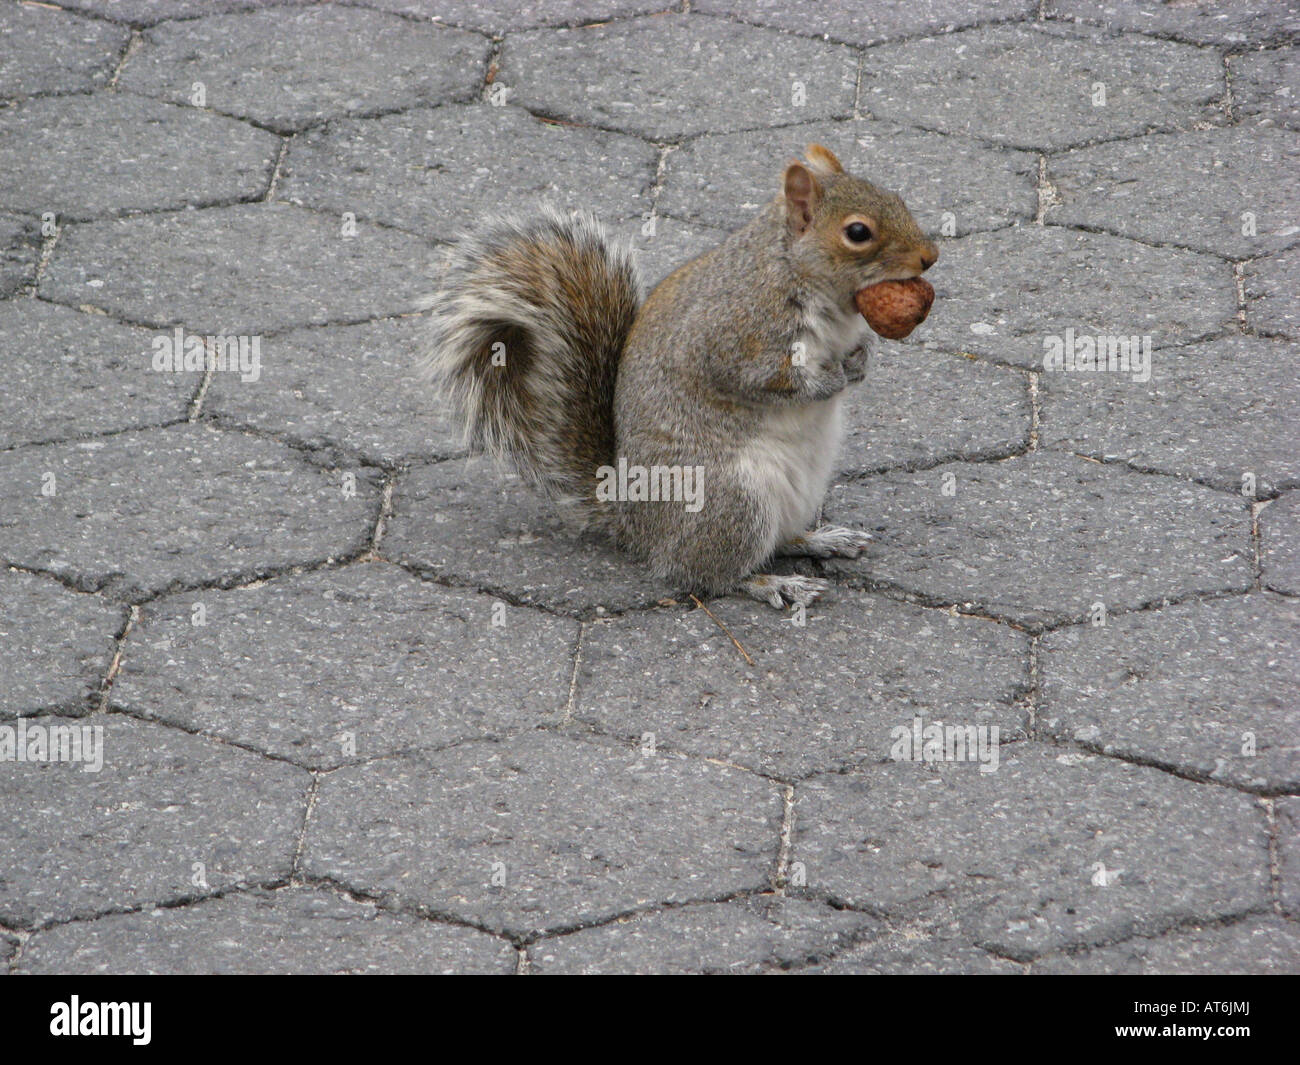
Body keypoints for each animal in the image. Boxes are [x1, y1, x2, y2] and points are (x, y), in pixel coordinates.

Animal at [425, 143, 938, 610]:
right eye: (858, 232)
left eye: (896, 196)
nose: (930, 256)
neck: (797, 274)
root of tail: (635, 522)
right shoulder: (736, 336)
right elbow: (763, 381)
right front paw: (833, 378)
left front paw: (862, 358)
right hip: (731, 501)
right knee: (709, 574)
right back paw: (775, 584)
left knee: (778, 540)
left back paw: (821, 540)